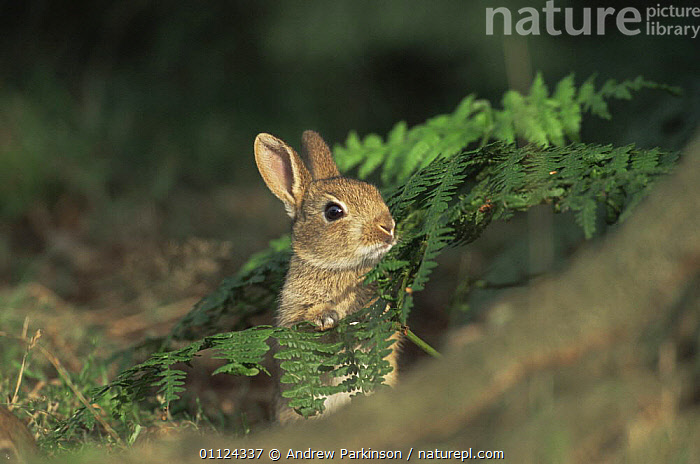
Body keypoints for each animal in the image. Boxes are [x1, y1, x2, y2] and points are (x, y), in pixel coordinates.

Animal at [254, 130, 400, 423]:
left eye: (374, 192)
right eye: (333, 212)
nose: (388, 227)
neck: (338, 267)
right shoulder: (293, 313)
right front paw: (324, 317)